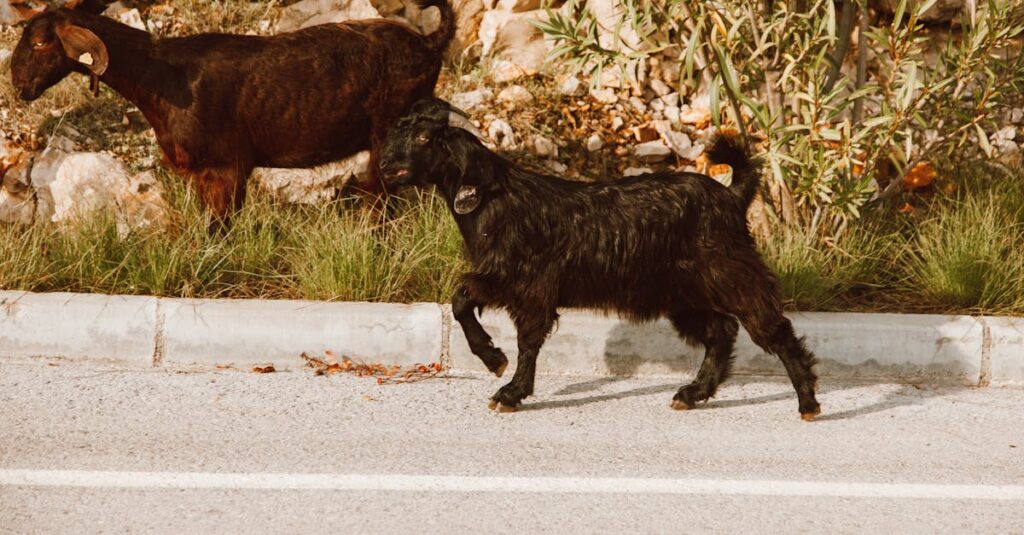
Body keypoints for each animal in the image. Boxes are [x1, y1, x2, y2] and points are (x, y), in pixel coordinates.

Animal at [10, 0, 455, 220]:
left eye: (41, 41)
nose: (17, 83)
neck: (162, 77)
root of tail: (430, 42)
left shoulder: (227, 165)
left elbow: (220, 229)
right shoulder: (203, 174)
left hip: (389, 135)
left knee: (381, 203)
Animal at [379, 98, 821, 421]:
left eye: (424, 136)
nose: (384, 164)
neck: (495, 197)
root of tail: (732, 196)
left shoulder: (528, 284)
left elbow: (519, 334)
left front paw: (505, 382)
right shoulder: (506, 280)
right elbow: (464, 301)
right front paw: (496, 363)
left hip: (732, 274)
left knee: (773, 329)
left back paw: (808, 403)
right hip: (683, 293)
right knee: (721, 331)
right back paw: (693, 393)